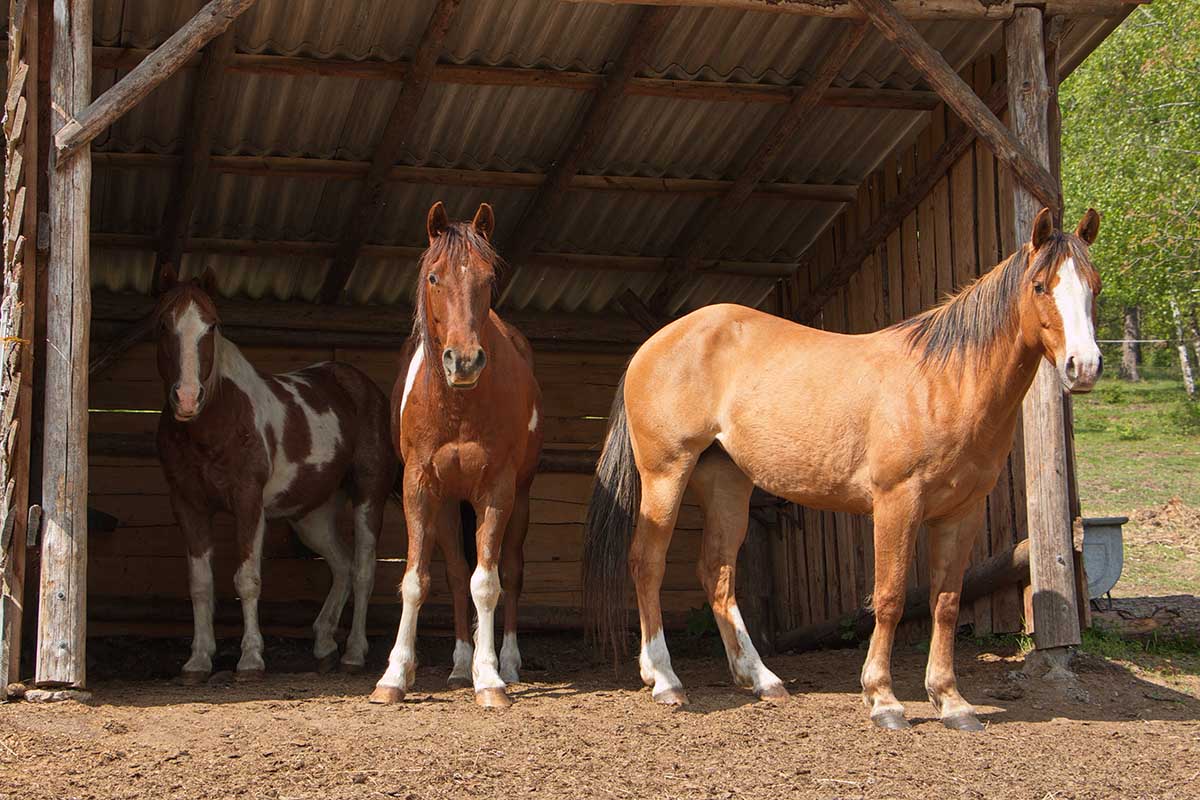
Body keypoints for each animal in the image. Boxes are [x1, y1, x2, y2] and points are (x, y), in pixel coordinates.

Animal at [153, 266, 395, 682]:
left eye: (211, 326)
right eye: (165, 324)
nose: (186, 398)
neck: (218, 420)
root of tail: (361, 385)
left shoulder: (248, 501)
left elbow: (247, 579)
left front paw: (251, 660)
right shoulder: (187, 503)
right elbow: (200, 583)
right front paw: (198, 661)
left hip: (368, 494)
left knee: (363, 568)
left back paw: (353, 654)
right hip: (311, 516)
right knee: (342, 565)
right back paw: (324, 646)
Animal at [369, 202, 543, 709]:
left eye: (487, 277)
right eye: (434, 277)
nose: (463, 361)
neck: (459, 405)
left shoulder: (498, 489)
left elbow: (488, 582)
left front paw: (491, 680)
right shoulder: (419, 486)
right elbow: (418, 579)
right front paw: (394, 676)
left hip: (521, 499)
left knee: (511, 572)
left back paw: (506, 662)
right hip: (448, 503)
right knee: (455, 572)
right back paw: (461, 664)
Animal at [583, 208, 1102, 731]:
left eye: (1094, 286)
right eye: (1040, 285)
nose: (1083, 367)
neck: (945, 382)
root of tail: (653, 344)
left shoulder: (962, 513)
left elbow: (947, 603)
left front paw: (951, 701)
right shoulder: (896, 503)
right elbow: (889, 598)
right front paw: (884, 700)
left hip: (726, 481)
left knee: (717, 573)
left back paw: (761, 678)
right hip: (666, 473)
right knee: (646, 562)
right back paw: (665, 679)